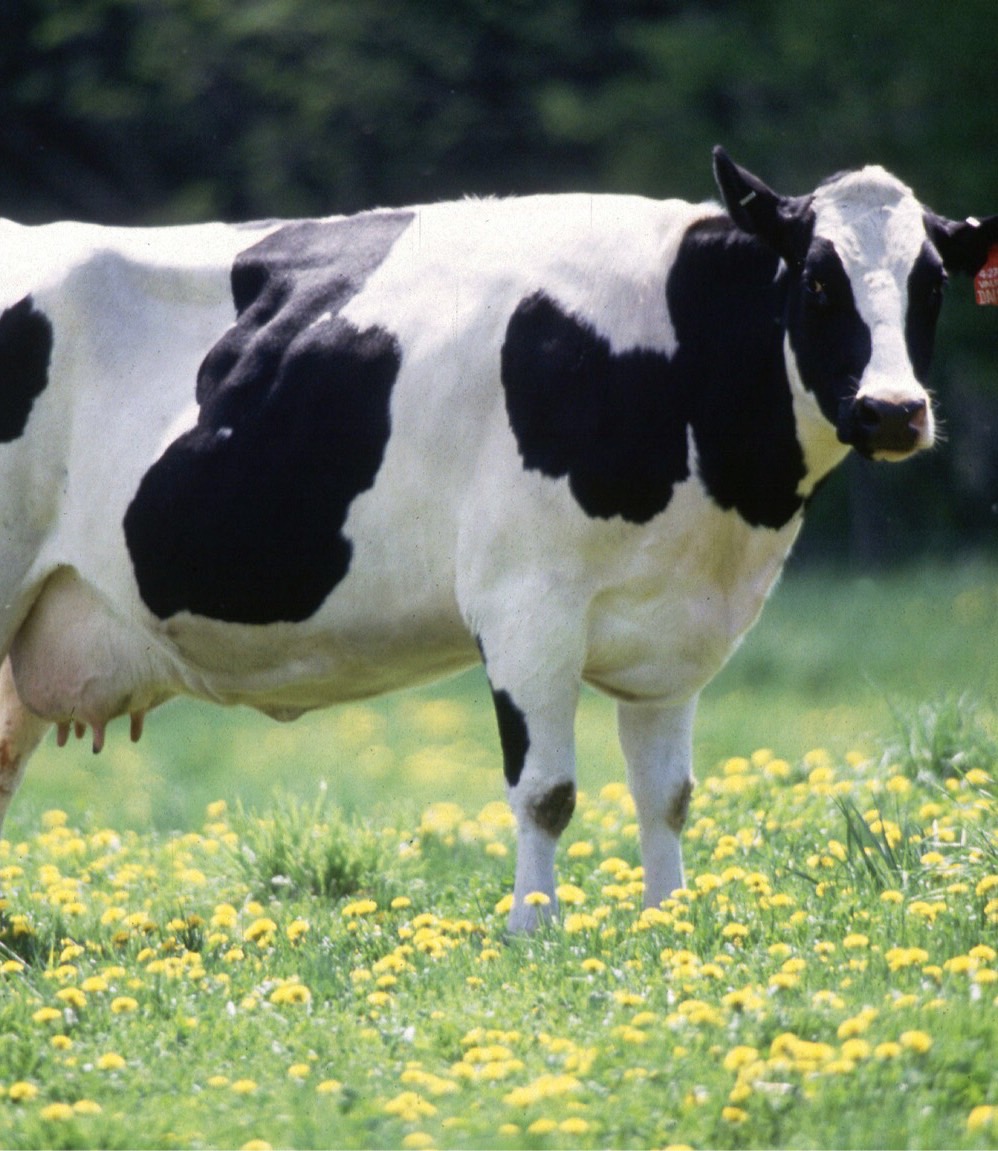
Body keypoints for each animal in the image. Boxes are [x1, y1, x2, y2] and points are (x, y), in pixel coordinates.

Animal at [0, 148, 994, 932]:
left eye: (933, 283)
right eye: (818, 281)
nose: (894, 410)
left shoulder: (674, 633)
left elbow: (668, 795)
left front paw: (669, 917)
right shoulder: (527, 605)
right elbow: (547, 792)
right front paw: (533, 929)